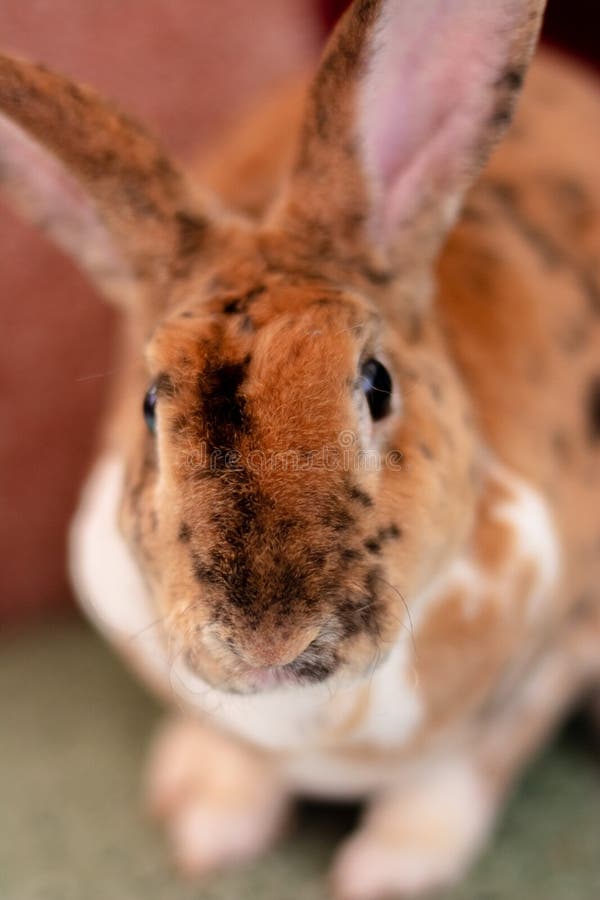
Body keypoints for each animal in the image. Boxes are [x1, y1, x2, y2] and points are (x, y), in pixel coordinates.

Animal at [1, 0, 600, 897]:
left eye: (377, 382)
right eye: (149, 404)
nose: (269, 640)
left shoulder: (550, 658)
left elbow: (456, 775)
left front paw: (384, 875)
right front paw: (208, 834)